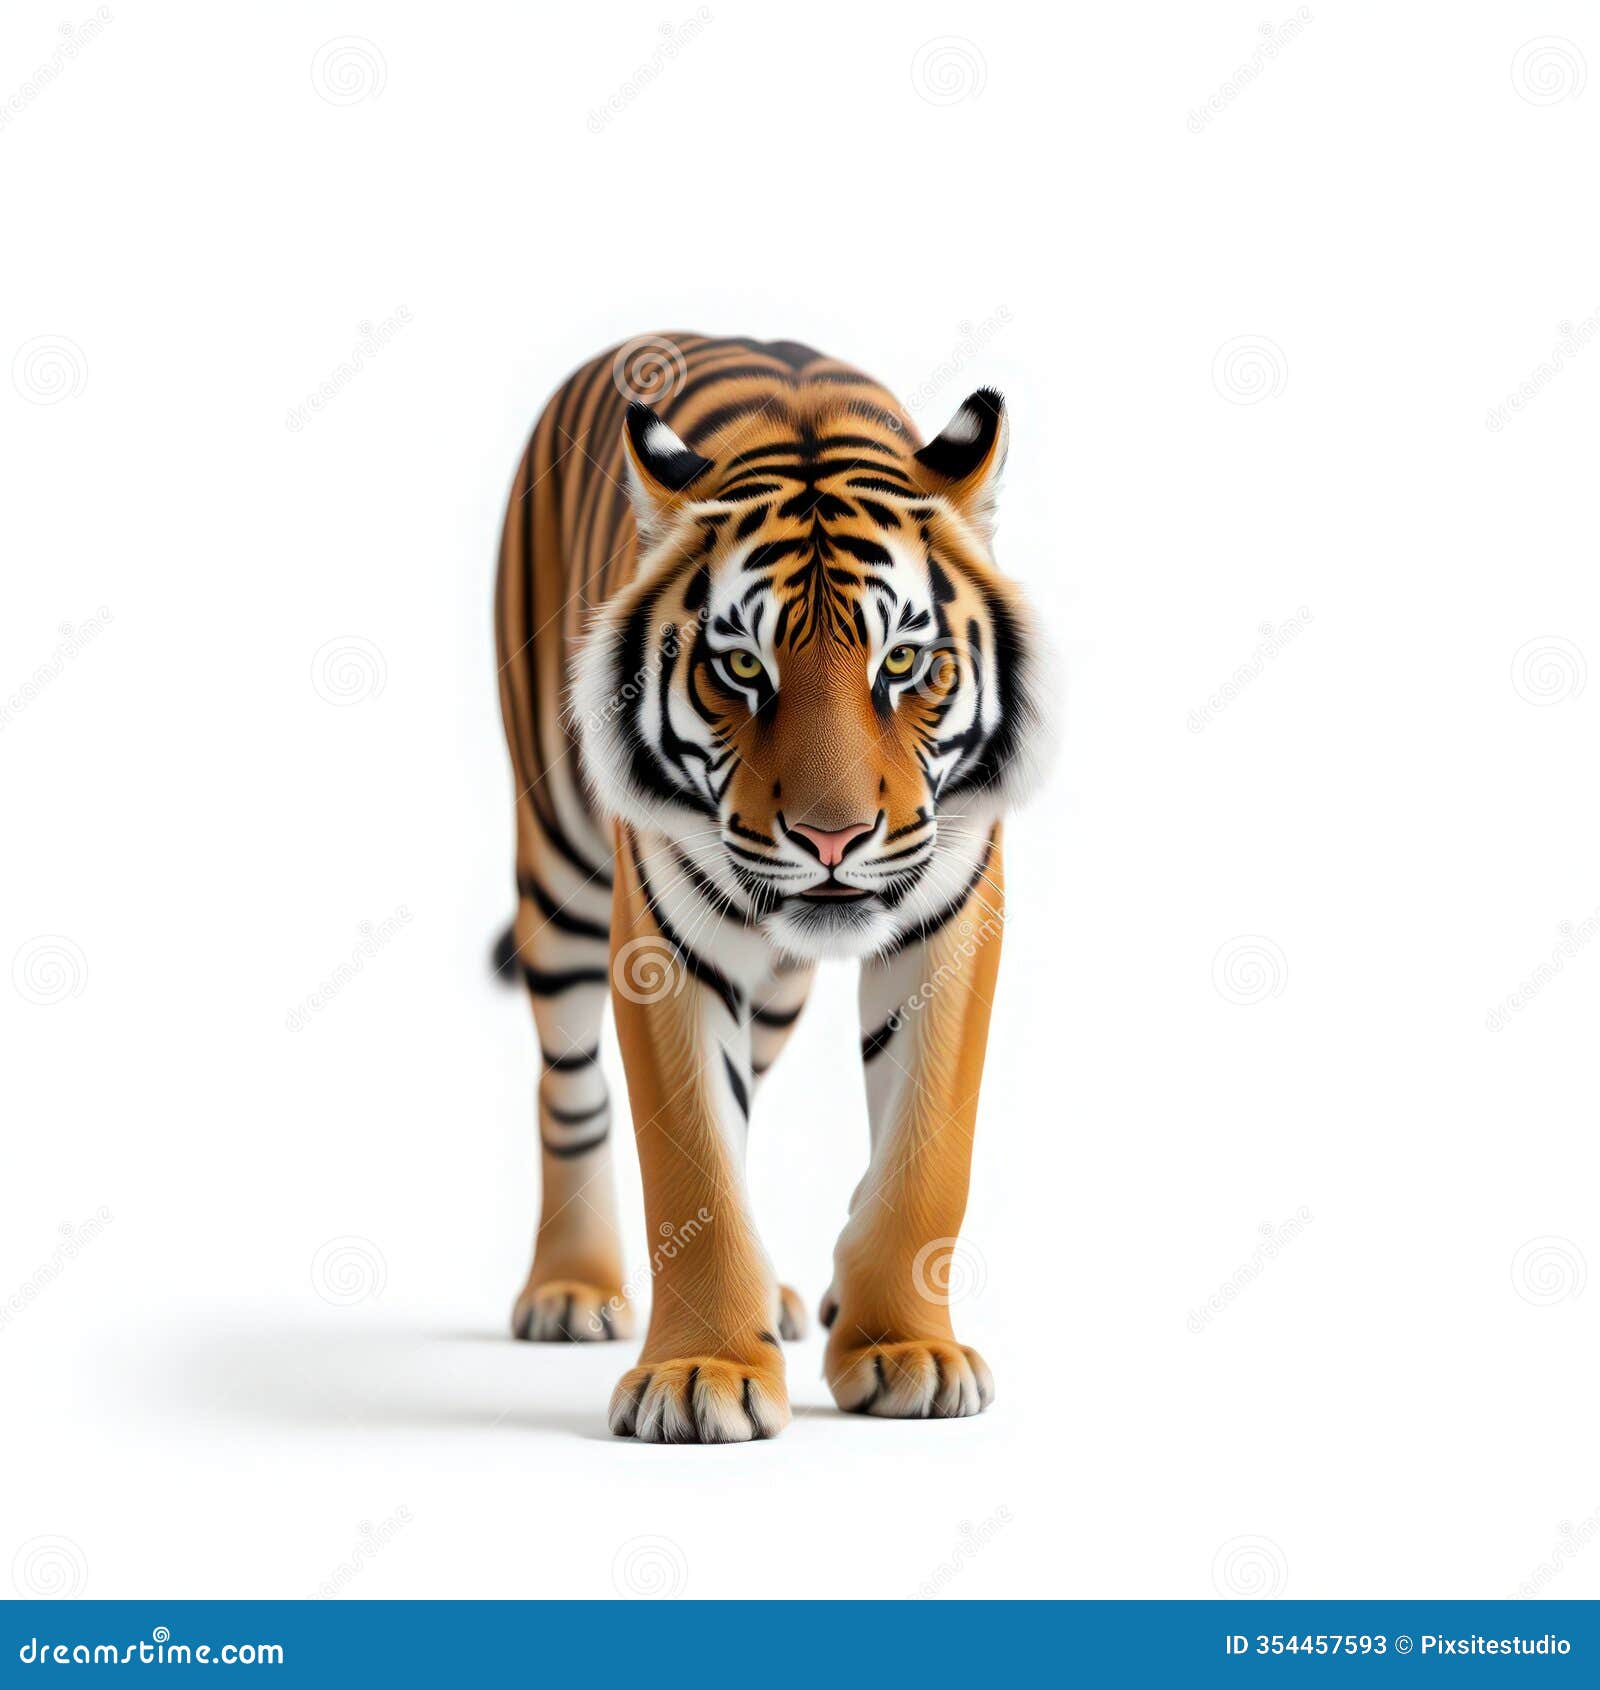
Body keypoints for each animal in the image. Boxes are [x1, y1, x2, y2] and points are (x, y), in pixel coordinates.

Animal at [493, 334, 1050, 1442]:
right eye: (742, 667)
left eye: (904, 661)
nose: (832, 837)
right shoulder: (662, 943)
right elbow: (693, 1163)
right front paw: (699, 1372)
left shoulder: (952, 920)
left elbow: (926, 1156)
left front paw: (904, 1350)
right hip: (561, 872)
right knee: (566, 1085)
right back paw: (571, 1289)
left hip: (781, 981)